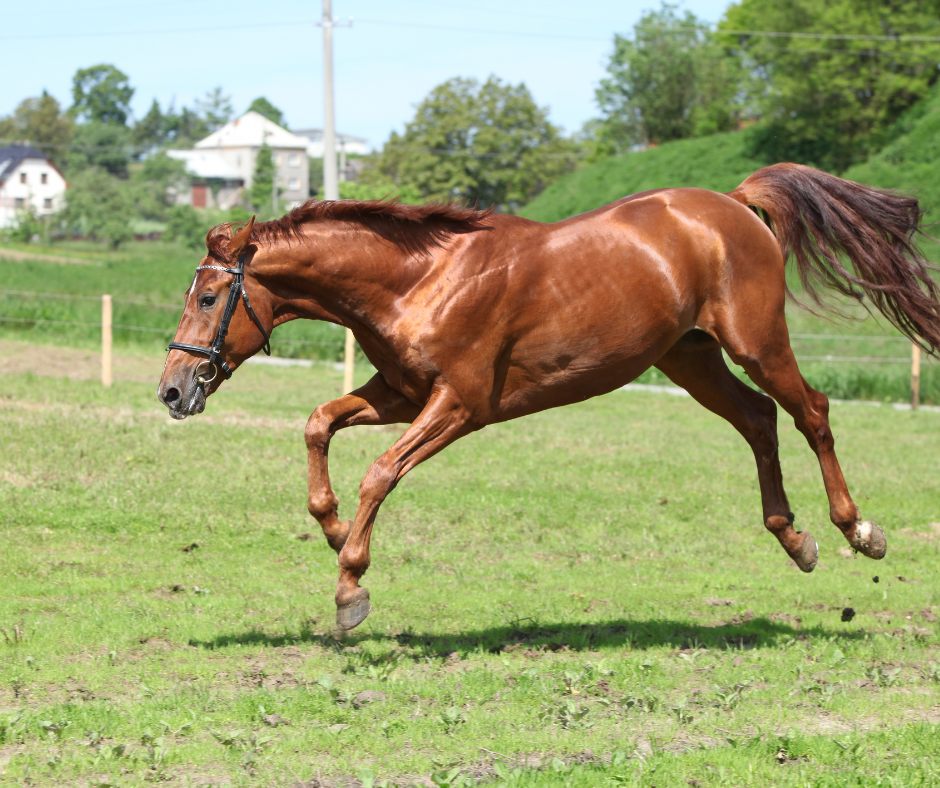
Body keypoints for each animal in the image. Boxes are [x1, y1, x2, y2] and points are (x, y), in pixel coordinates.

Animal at [158, 163, 940, 631]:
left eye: (207, 297)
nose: (172, 389)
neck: (420, 279)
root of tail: (735, 204)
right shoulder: (402, 394)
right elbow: (319, 424)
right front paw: (330, 527)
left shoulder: (459, 405)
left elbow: (379, 472)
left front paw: (351, 585)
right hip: (690, 358)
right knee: (758, 419)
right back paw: (796, 539)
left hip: (757, 343)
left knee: (811, 412)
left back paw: (857, 531)